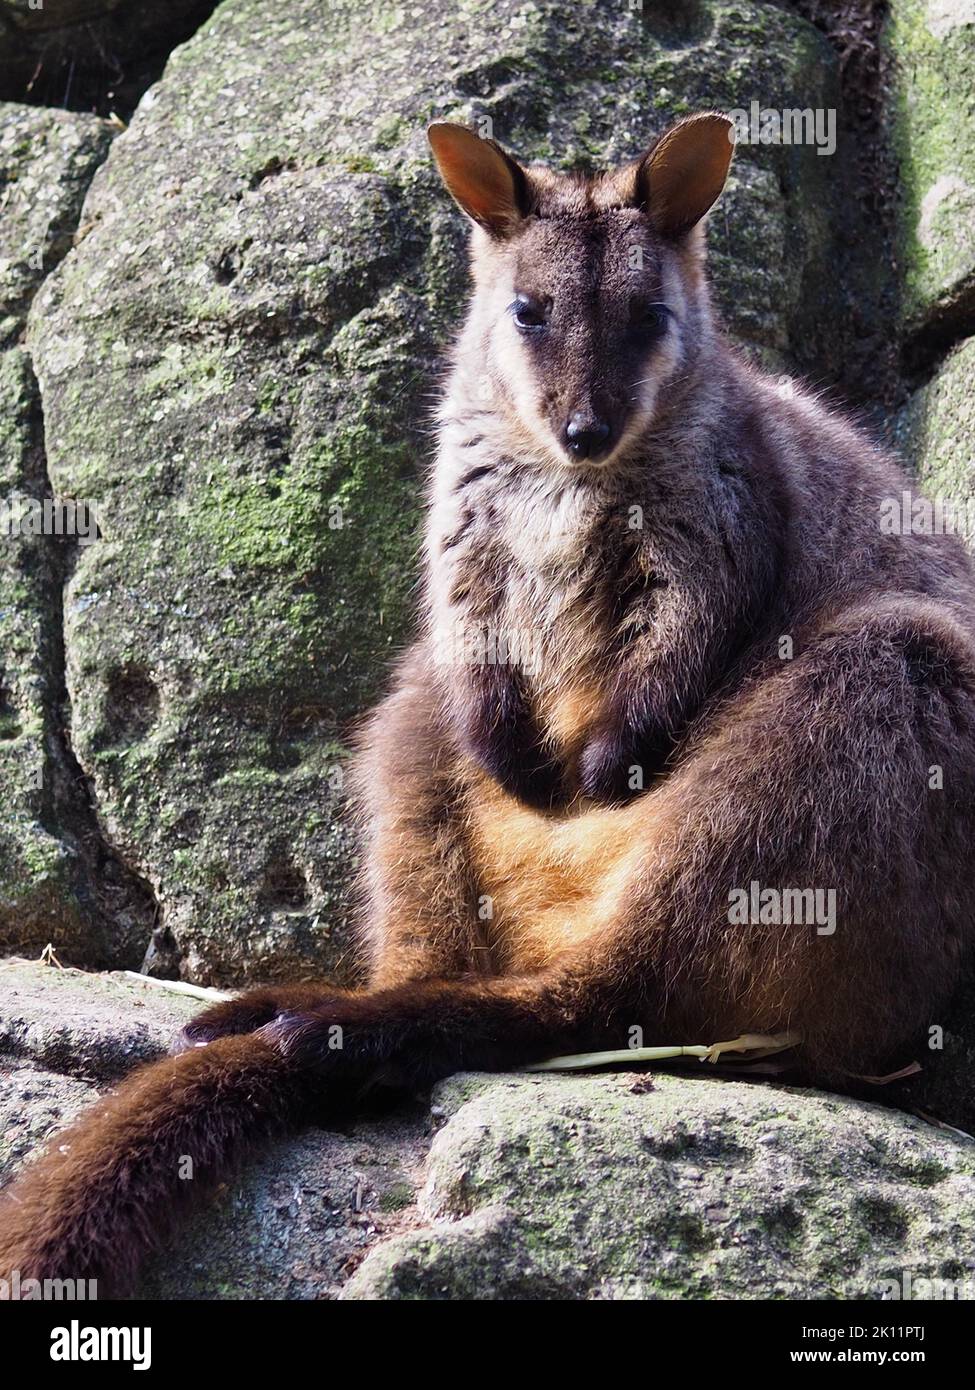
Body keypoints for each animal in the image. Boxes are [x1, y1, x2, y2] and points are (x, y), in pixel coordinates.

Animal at [3, 112, 975, 1298]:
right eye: (527, 312)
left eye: (650, 318)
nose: (586, 428)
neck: (568, 473)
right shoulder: (465, 541)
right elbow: (480, 629)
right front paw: (537, 768)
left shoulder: (722, 521)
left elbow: (683, 642)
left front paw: (606, 767)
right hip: (420, 719)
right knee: (468, 894)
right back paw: (289, 1016)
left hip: (877, 700)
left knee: (607, 997)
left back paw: (341, 1030)